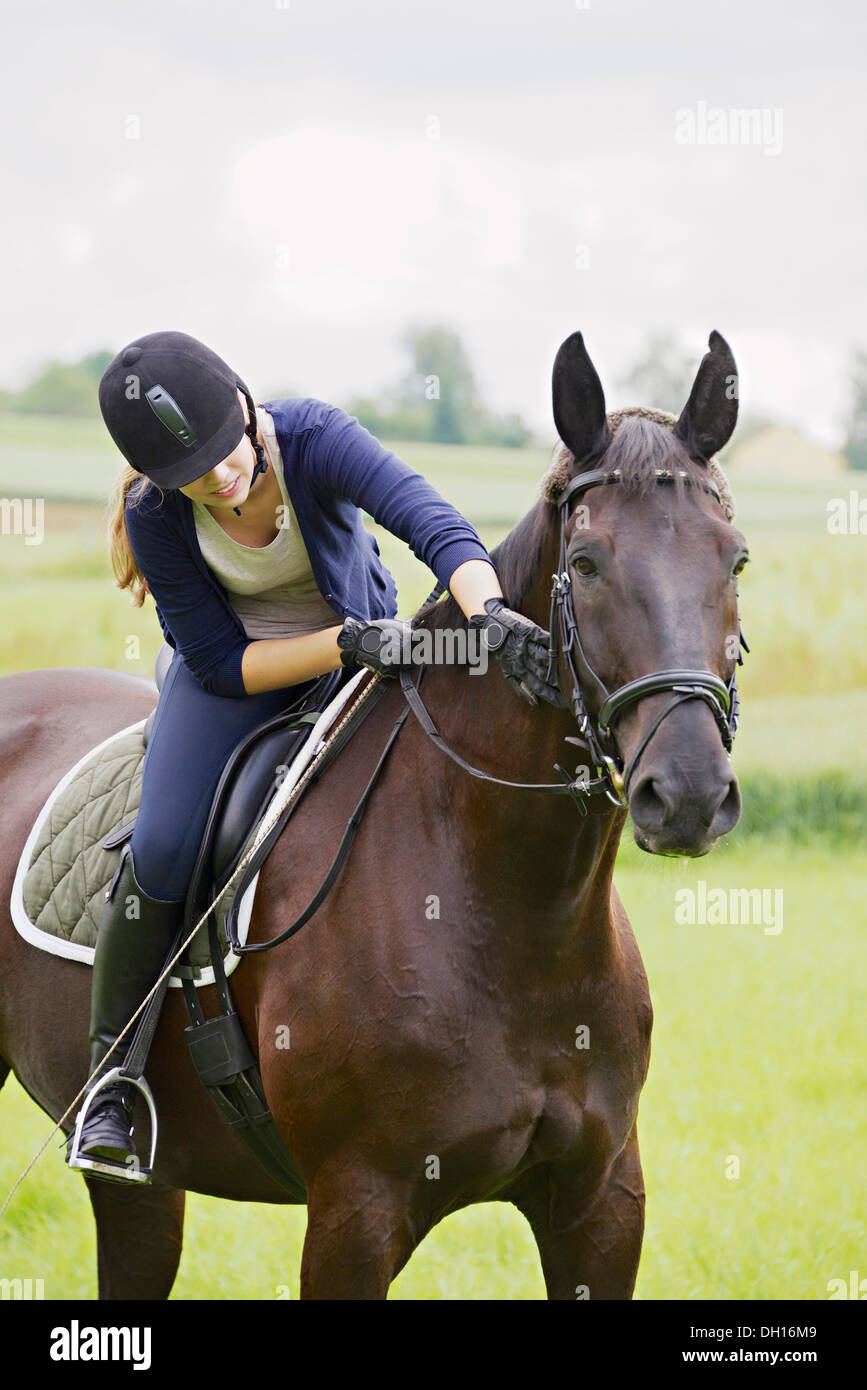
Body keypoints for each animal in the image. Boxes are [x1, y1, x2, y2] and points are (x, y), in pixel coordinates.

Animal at [0, 330, 746, 1299]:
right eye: (585, 565)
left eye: (733, 559)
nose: (688, 794)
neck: (515, 911)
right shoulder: (357, 1209)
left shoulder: (601, 1202)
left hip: (147, 1189)